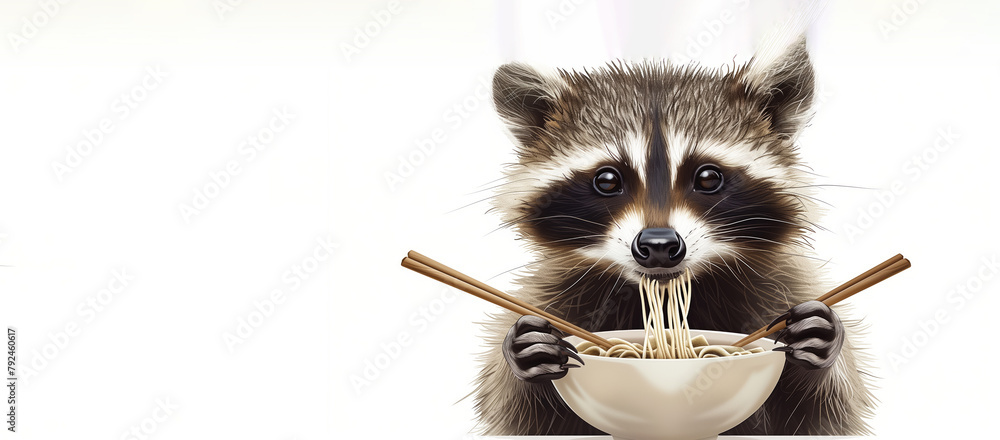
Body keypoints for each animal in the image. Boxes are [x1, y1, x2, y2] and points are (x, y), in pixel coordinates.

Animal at [471, 39, 876, 436]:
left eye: (708, 177)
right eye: (608, 180)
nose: (658, 246)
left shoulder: (779, 286)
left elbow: (826, 413)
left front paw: (820, 348)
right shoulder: (554, 294)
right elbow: (512, 412)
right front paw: (525, 355)